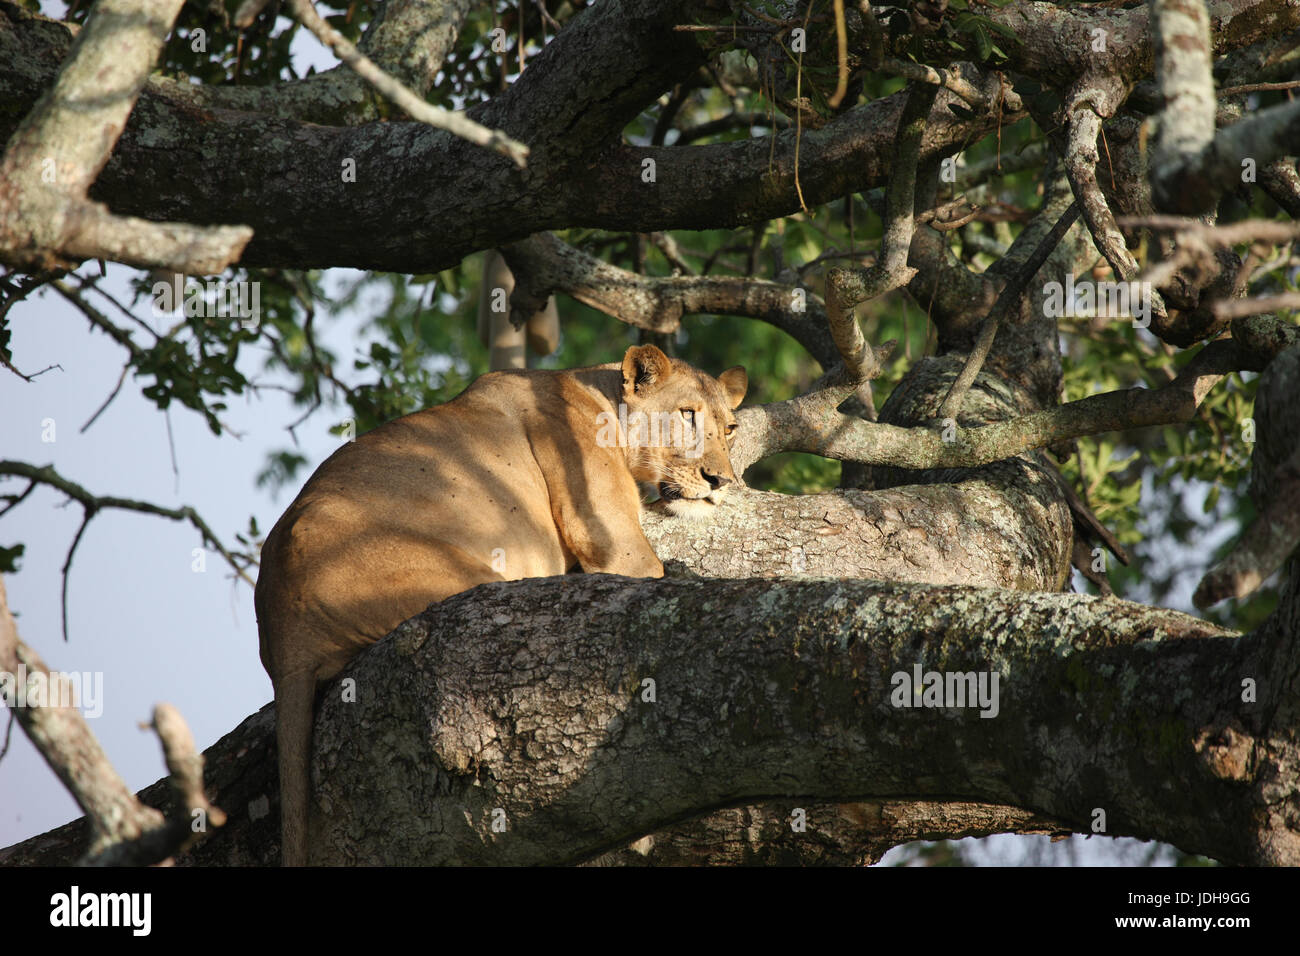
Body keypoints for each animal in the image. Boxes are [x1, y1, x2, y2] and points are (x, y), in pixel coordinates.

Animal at [254, 344, 747, 865]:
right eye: (687, 415)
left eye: (730, 428)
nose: (720, 480)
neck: (603, 398)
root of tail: (281, 636)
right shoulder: (617, 545)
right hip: (473, 588)